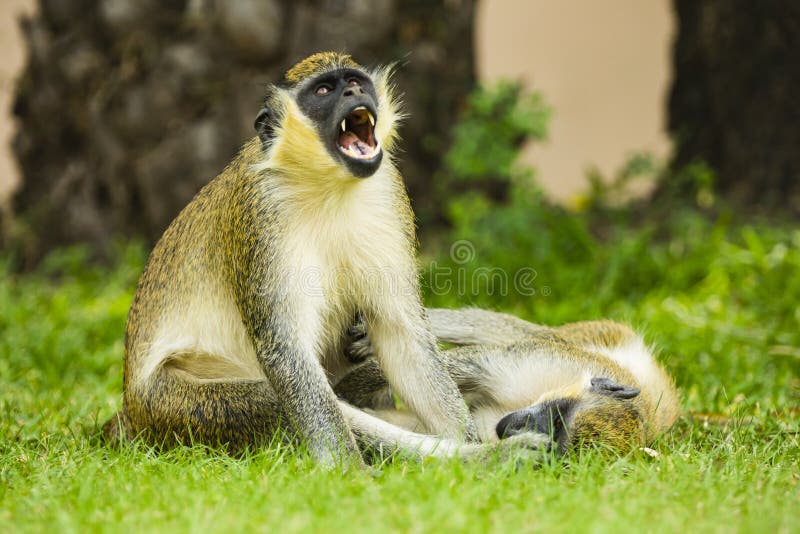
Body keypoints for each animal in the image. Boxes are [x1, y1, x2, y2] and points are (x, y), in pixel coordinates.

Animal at [101, 52, 507, 465]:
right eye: (324, 90)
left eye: (355, 81)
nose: (354, 93)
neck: (329, 186)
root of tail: (131, 412)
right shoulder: (260, 209)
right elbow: (287, 351)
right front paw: (349, 469)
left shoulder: (389, 188)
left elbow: (403, 336)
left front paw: (466, 440)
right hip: (175, 406)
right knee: (272, 402)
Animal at [334, 308, 680, 454]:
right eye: (557, 417)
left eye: (557, 443)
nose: (514, 428)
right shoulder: (548, 363)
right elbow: (470, 363)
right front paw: (345, 390)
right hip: (581, 336)